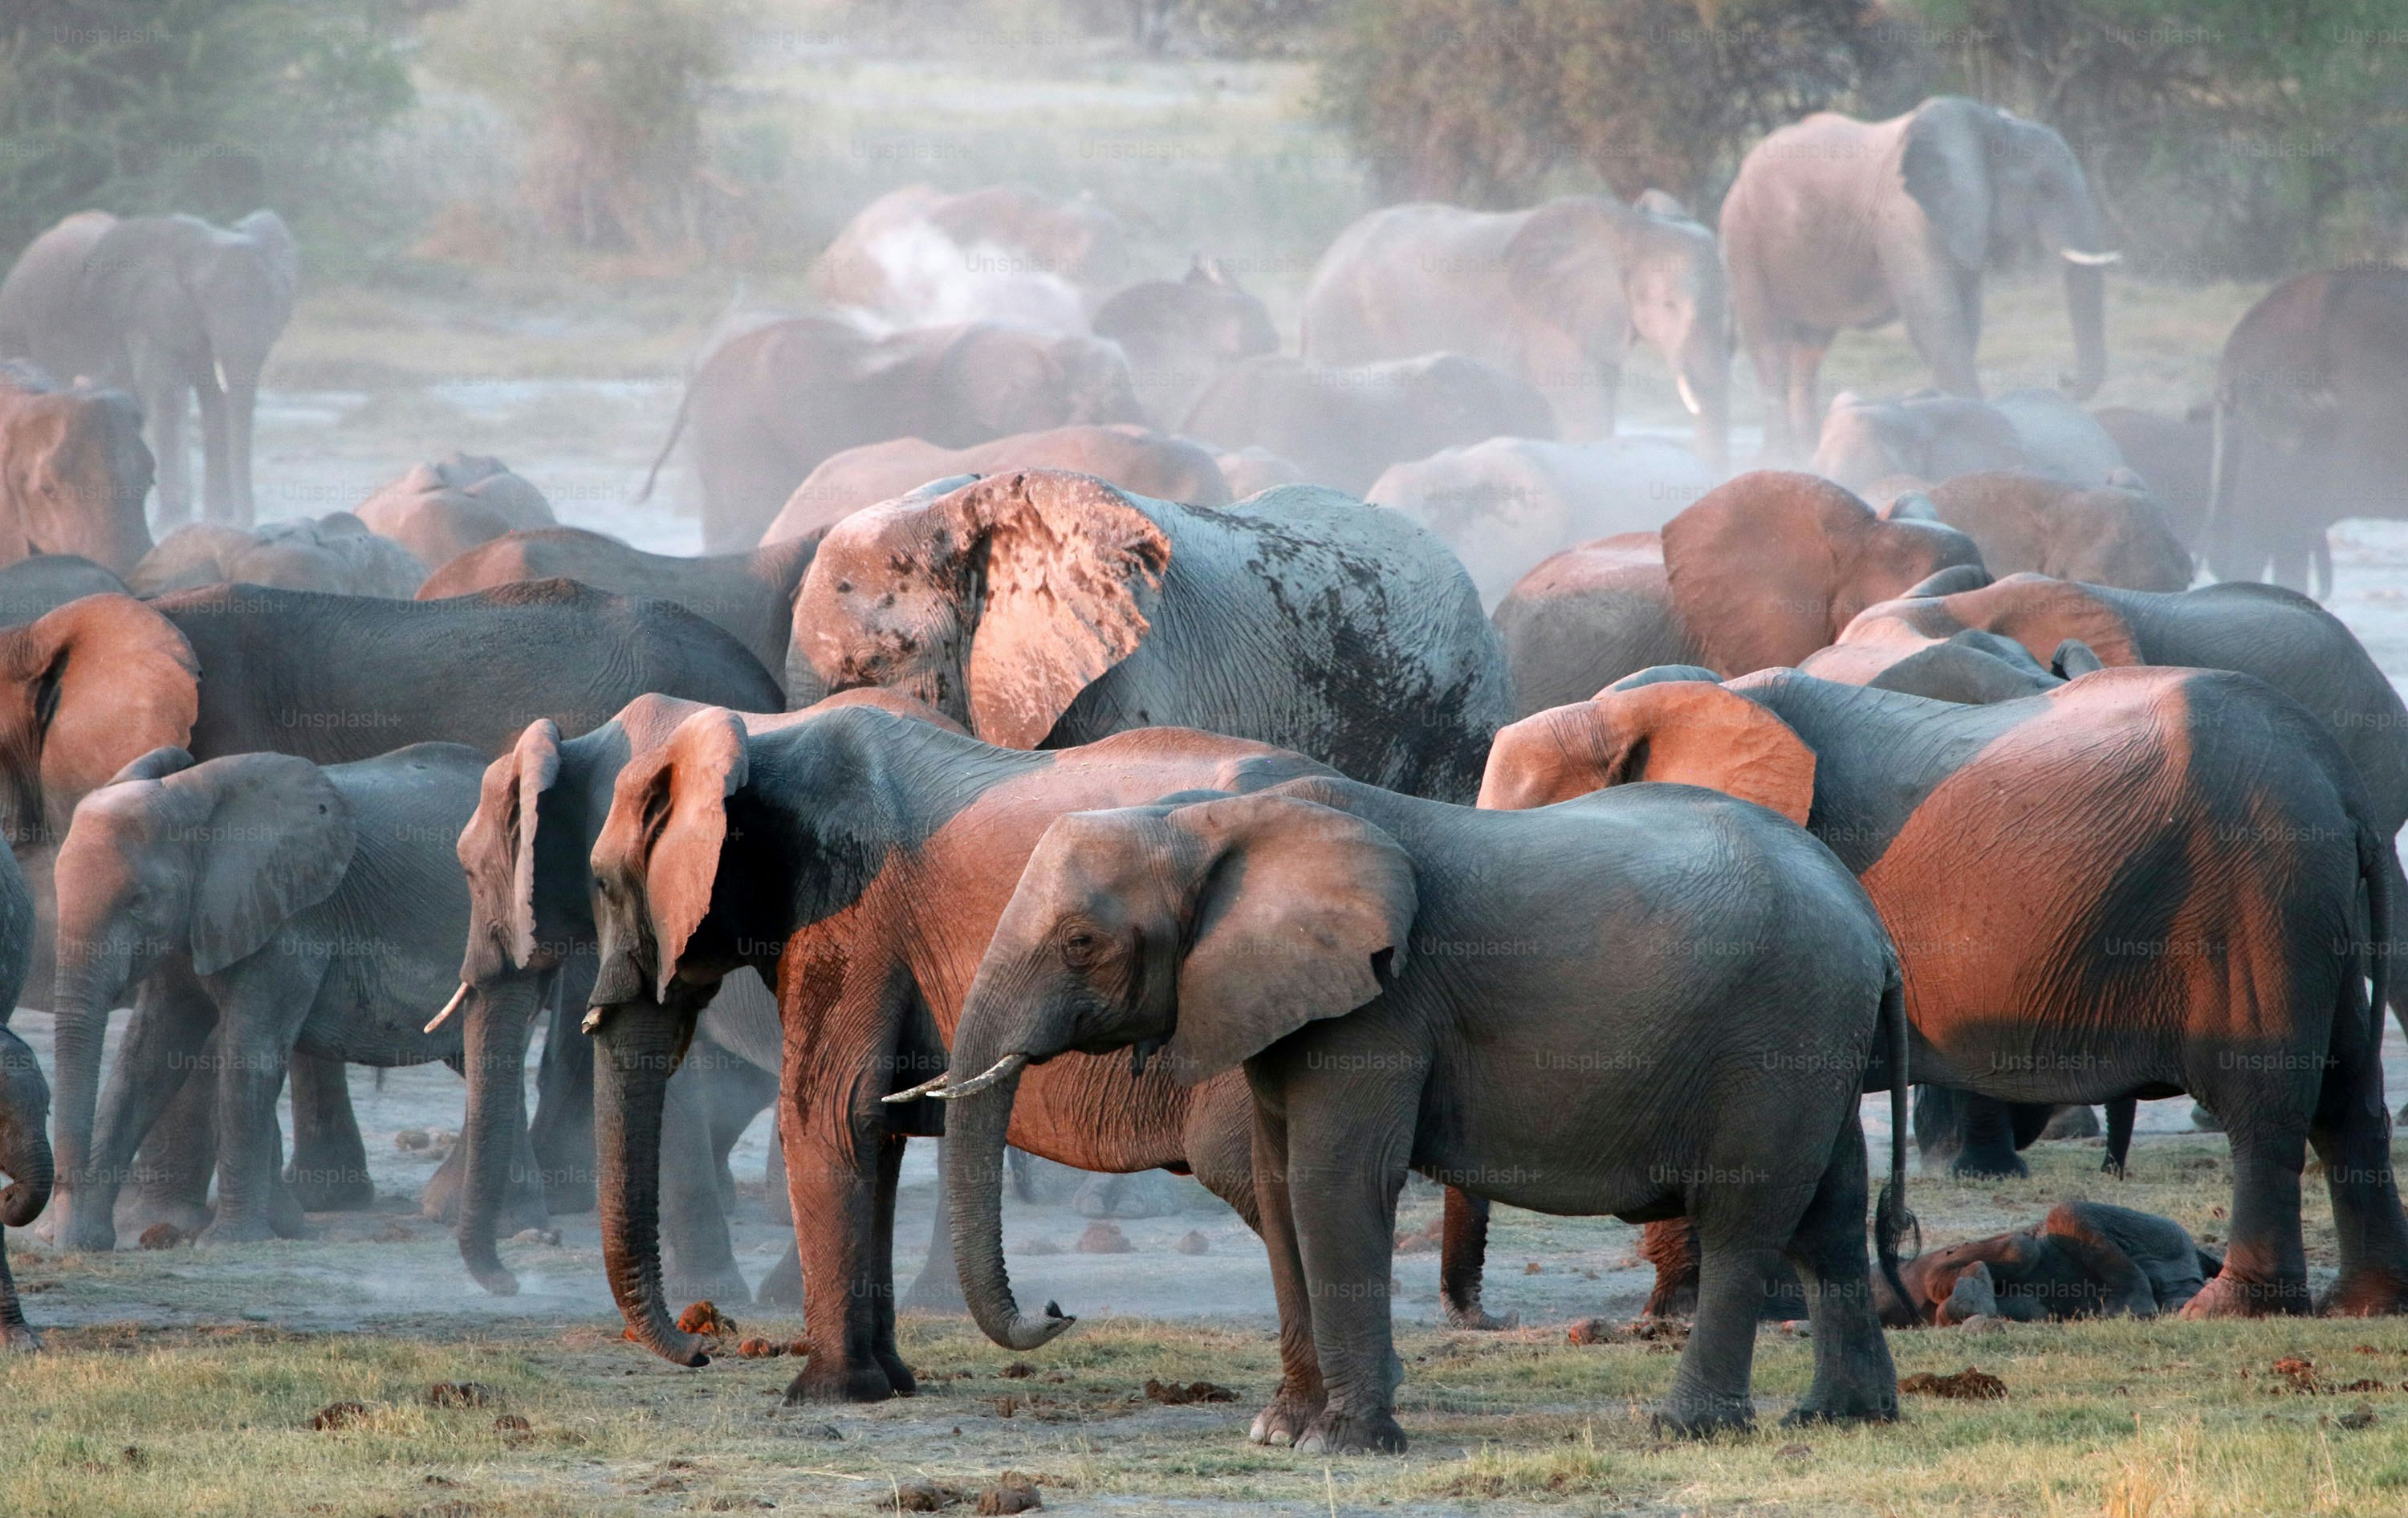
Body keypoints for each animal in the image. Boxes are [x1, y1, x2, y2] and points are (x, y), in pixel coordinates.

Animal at [0, 210, 297, 526]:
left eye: (280, 304)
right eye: (208, 302)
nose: (246, 524)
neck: (202, 246)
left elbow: (211, 398)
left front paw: (214, 519)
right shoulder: (145, 317)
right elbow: (163, 392)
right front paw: (170, 522)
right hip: (16, 323)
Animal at [44, 743, 546, 1249]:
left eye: (140, 901)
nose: (63, 1234)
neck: (190, 799)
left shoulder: (290, 923)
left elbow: (250, 1056)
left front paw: (231, 1242)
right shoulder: (198, 922)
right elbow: (145, 1058)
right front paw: (78, 1240)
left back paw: (500, 1222)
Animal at [925, 774, 1910, 1447]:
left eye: (1080, 942)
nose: (1058, 1308)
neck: (1210, 820)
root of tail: (1869, 917)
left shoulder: (1380, 1003)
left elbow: (1335, 1183)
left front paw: (1345, 1443)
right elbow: (1280, 1187)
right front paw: (1280, 1432)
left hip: (1779, 1025)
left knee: (1748, 1218)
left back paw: (1688, 1427)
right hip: (1818, 1038)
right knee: (1829, 1219)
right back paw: (1840, 1417)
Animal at [1481, 664, 2408, 1316]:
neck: (1648, 702)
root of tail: (2340, 780)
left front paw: (1676, 1316)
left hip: (2257, 893)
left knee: (2267, 1100)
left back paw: (2227, 1310)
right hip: (2309, 904)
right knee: (2349, 1096)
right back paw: (2362, 1305)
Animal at [1722, 96, 2116, 460]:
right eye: (2044, 187)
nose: (2064, 380)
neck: (1989, 125)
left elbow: (1964, 321)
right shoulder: (1905, 217)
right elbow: (1937, 317)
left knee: (1810, 350)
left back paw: (1805, 455)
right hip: (1743, 241)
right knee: (1769, 344)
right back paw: (1778, 459)